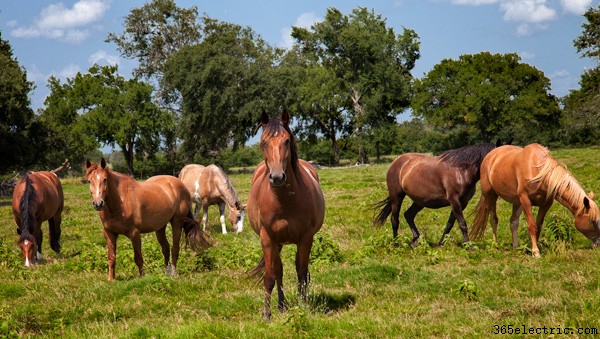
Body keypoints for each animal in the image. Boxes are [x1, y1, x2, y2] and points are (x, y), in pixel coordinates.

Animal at [247, 111, 326, 322]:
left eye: (287, 140)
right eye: (263, 142)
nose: (277, 177)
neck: (285, 201)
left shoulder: (306, 238)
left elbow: (301, 272)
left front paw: (302, 304)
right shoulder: (267, 239)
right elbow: (270, 276)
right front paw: (266, 313)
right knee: (278, 271)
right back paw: (281, 305)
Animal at [468, 143, 600, 258]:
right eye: (592, 220)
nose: (597, 244)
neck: (539, 171)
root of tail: (490, 156)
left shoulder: (546, 204)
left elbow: (538, 226)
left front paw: (533, 247)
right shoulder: (526, 200)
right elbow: (531, 225)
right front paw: (535, 252)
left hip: (517, 202)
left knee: (513, 222)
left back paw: (515, 247)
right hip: (491, 196)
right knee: (493, 220)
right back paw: (495, 245)